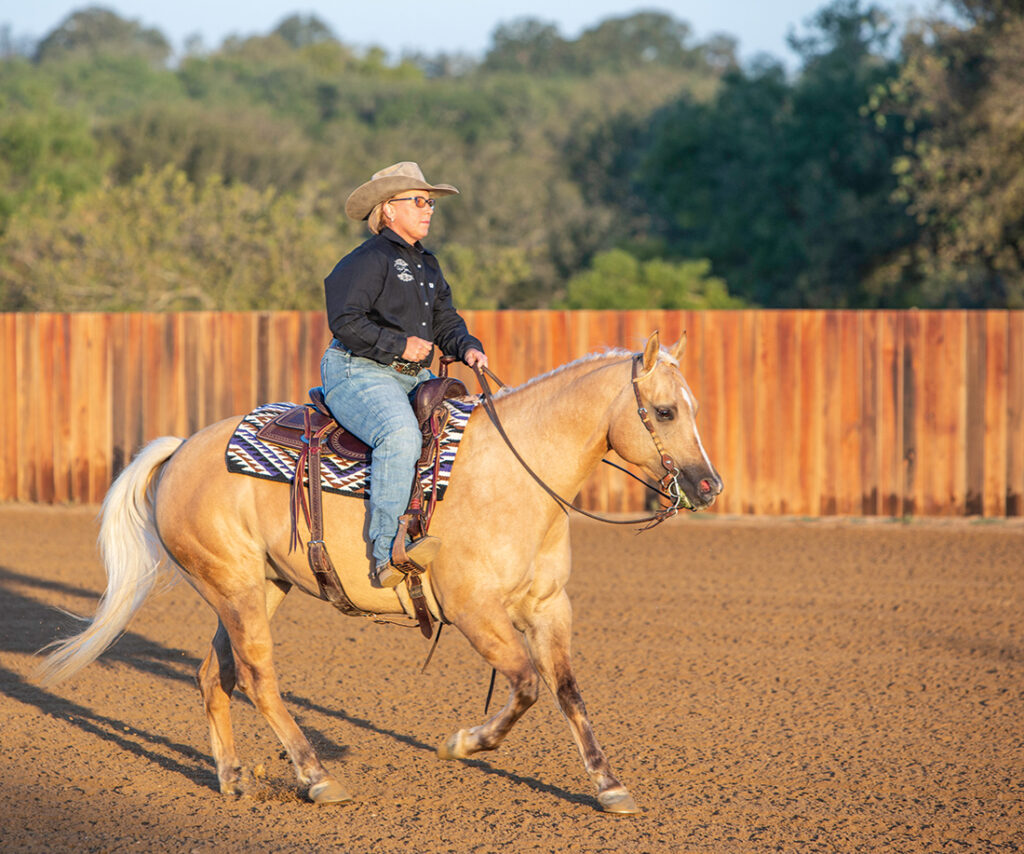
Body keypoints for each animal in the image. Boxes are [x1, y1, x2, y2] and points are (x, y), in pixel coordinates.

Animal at [36, 330, 722, 814]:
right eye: (664, 411)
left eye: (692, 406)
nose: (708, 485)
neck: (516, 475)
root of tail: (181, 449)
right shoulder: (475, 611)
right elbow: (527, 685)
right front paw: (463, 743)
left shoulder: (550, 606)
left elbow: (568, 690)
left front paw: (609, 785)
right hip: (235, 589)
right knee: (258, 678)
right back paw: (316, 776)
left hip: (257, 587)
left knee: (214, 676)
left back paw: (233, 779)